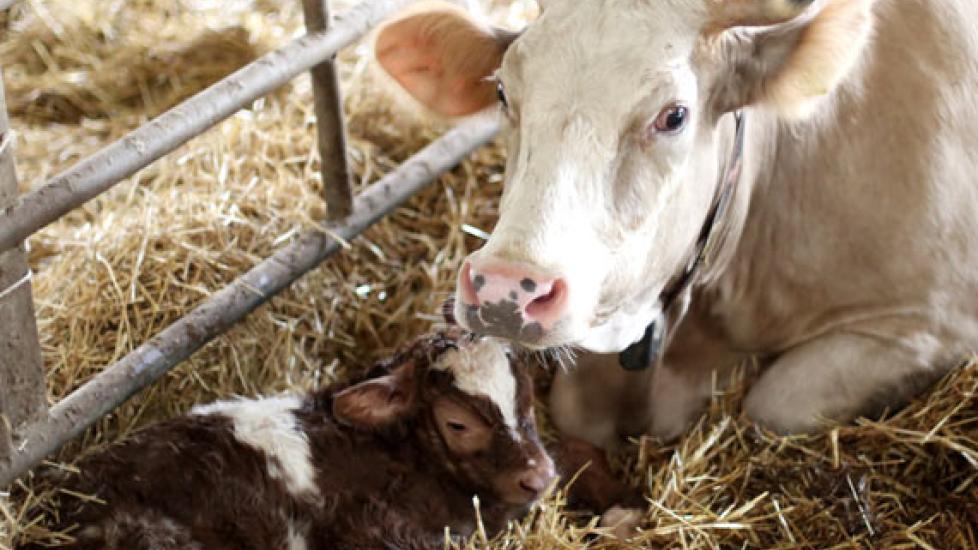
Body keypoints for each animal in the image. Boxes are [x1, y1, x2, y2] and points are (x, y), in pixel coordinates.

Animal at [374, 0, 978, 447]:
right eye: (502, 91)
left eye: (674, 116)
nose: (506, 289)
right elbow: (575, 413)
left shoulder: (929, 325)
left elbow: (776, 404)